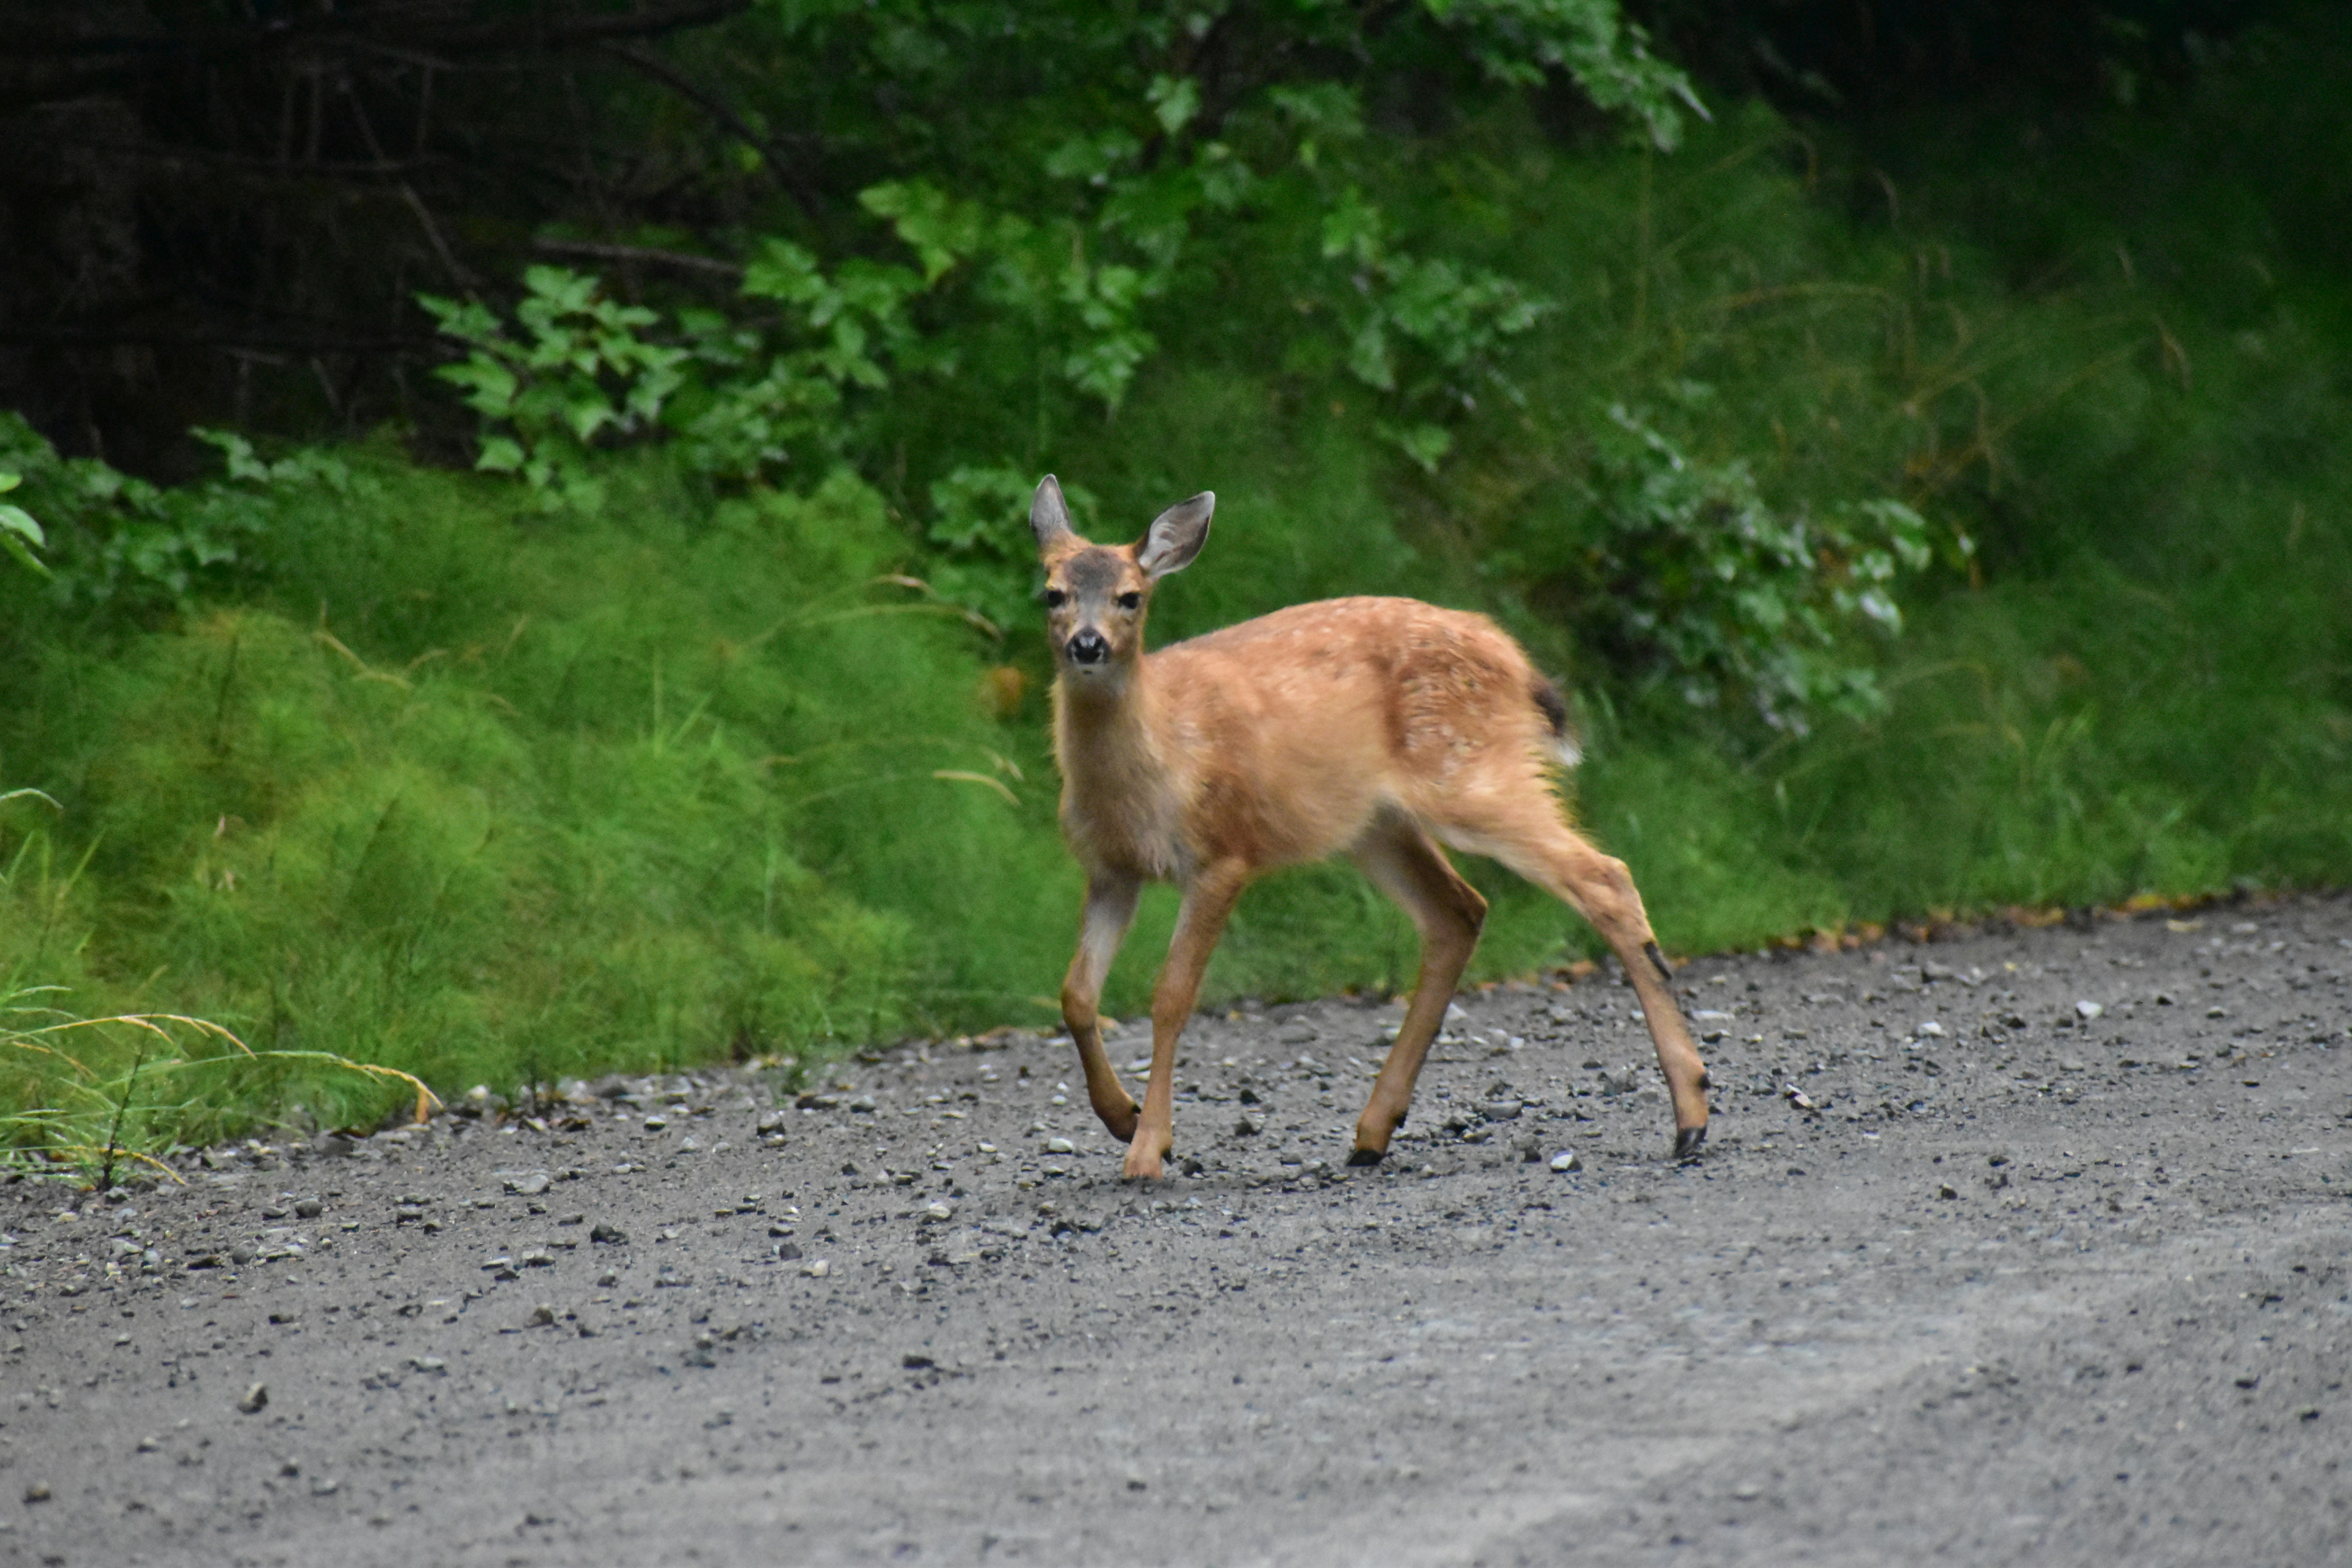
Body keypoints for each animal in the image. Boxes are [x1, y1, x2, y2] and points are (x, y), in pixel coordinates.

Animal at [1029, 475, 1710, 1181]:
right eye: (1052, 592)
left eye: (1130, 597)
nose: (1088, 645)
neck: (1157, 760)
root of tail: (1514, 659)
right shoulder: (1111, 869)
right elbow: (1076, 994)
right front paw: (1121, 1116)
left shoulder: (1224, 852)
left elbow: (1170, 997)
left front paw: (1149, 1148)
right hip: (1378, 826)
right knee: (1459, 911)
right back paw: (1373, 1131)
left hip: (1471, 776)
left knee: (1604, 876)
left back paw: (1691, 1116)